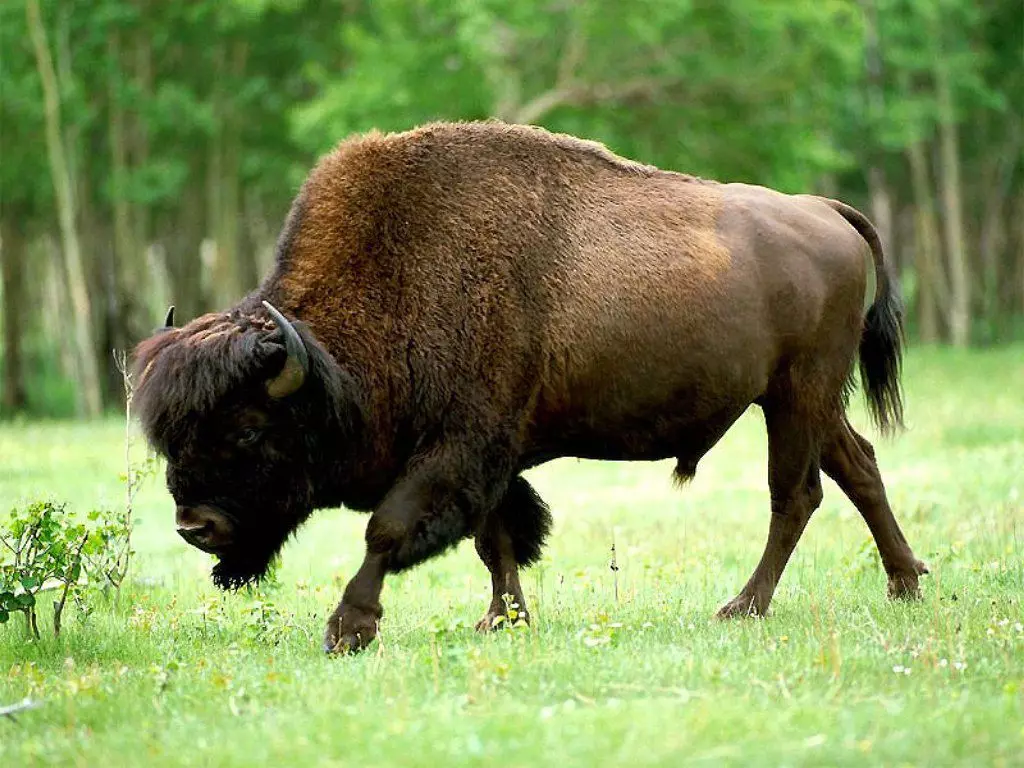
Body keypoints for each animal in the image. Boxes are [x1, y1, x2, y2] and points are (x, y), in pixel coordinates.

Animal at [134, 121, 929, 655]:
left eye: (248, 430)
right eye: (172, 436)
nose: (195, 526)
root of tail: (826, 210)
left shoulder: (459, 447)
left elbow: (389, 528)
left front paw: (348, 629)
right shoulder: (489, 454)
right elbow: (496, 537)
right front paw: (502, 618)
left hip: (797, 395)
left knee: (796, 494)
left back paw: (745, 606)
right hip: (802, 399)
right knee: (857, 467)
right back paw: (907, 582)